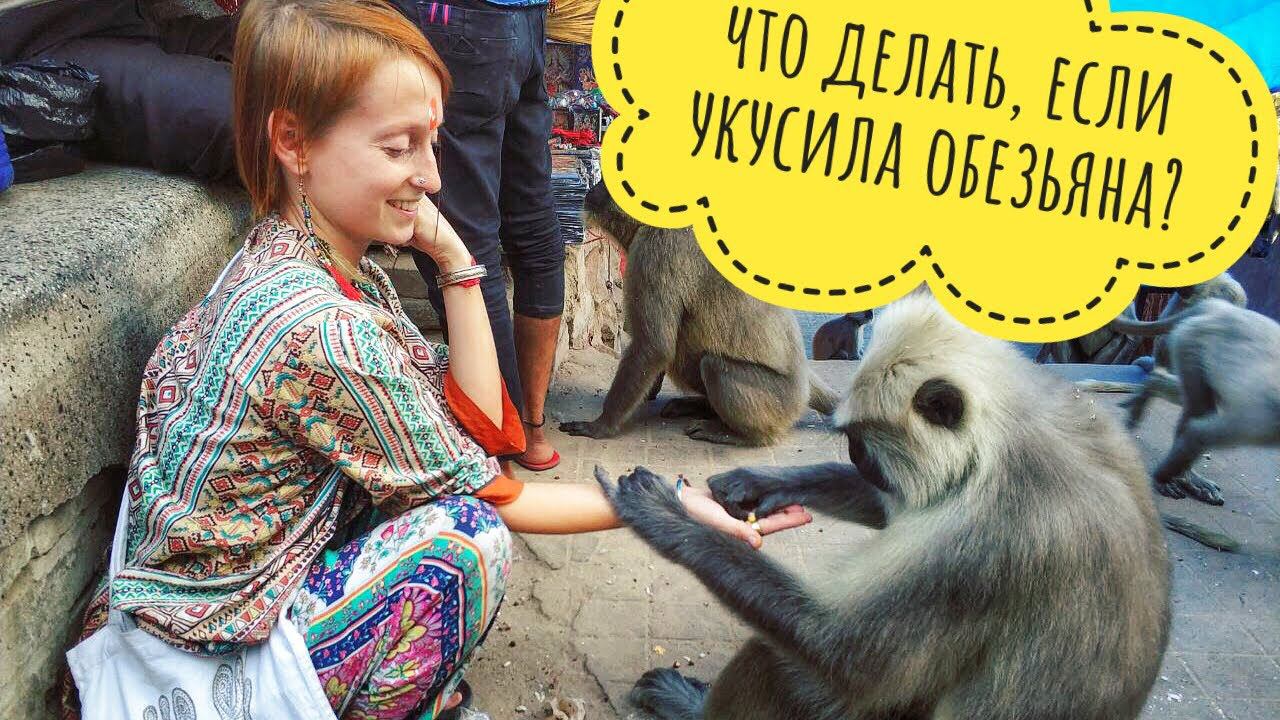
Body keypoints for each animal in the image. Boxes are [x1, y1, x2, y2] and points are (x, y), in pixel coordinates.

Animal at [559, 181, 838, 446]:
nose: (593, 190)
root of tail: (804, 383)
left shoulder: (655, 248)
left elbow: (653, 346)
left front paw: (602, 426)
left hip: (778, 401)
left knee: (711, 364)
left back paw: (743, 435)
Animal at [594, 289, 1171, 720]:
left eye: (862, 444)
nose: (855, 456)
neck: (1013, 436)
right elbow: (890, 507)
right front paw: (754, 486)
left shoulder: (990, 536)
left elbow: (847, 655)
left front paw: (669, 520)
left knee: (783, 660)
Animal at [1105, 296, 1280, 506]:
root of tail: (1219, 308)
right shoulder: (1264, 420)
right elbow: (1197, 434)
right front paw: (1162, 478)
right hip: (1190, 341)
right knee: (1199, 408)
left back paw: (1151, 386)